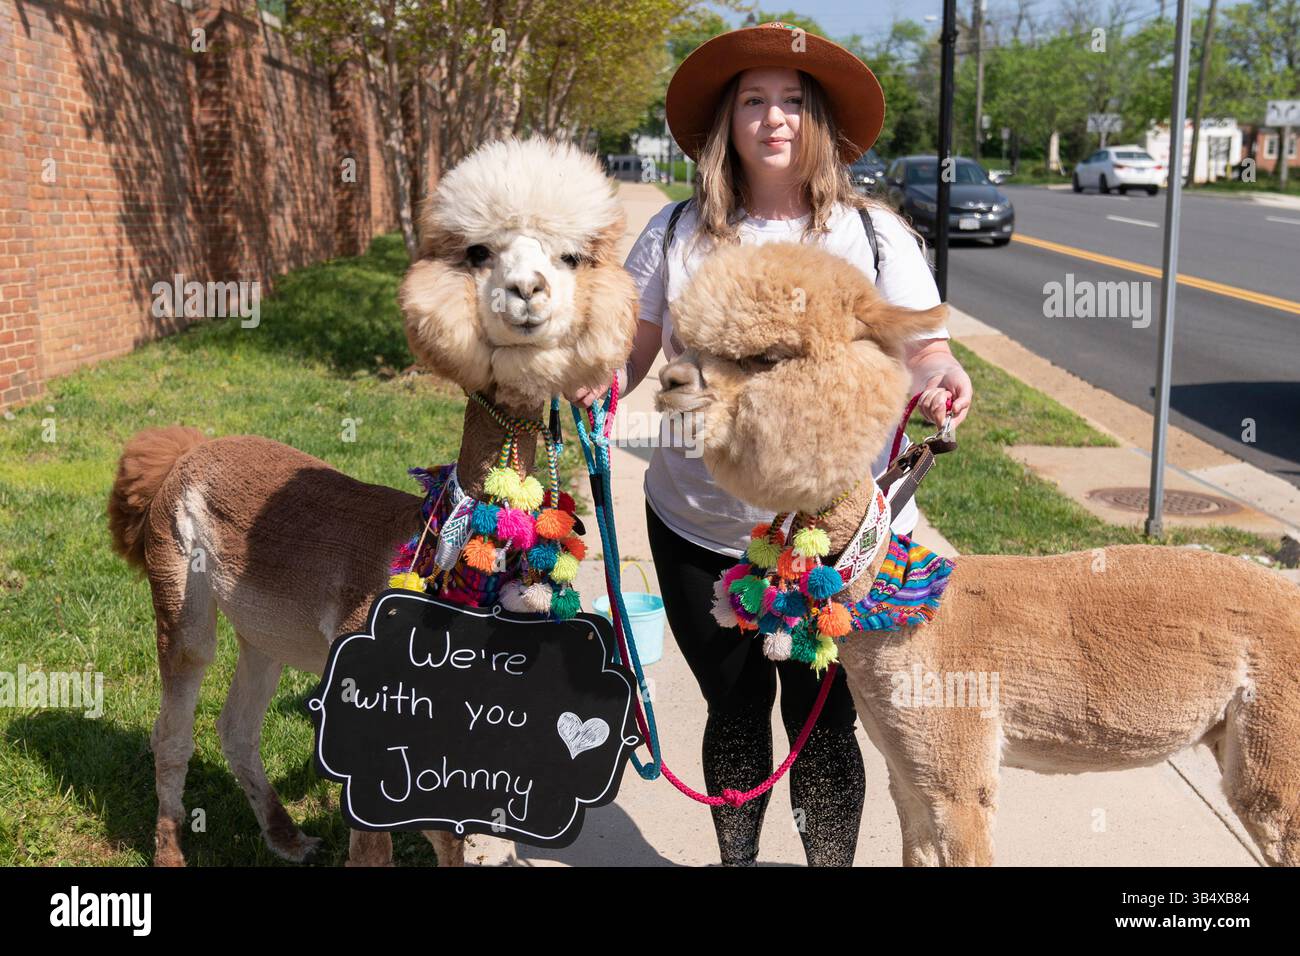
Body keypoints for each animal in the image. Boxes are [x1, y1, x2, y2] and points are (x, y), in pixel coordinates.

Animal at [107, 136, 638, 866]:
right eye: (479, 252)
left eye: (572, 257)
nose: (529, 292)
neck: (443, 546)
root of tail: (189, 449)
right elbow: (373, 848)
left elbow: (457, 837)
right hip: (179, 584)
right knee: (175, 721)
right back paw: (170, 852)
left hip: (265, 630)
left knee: (236, 725)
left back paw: (286, 837)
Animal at [655, 239, 1300, 866]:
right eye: (686, 340)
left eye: (767, 357)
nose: (669, 381)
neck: (890, 602)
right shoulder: (906, 770)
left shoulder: (956, 771)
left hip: (1276, 750)